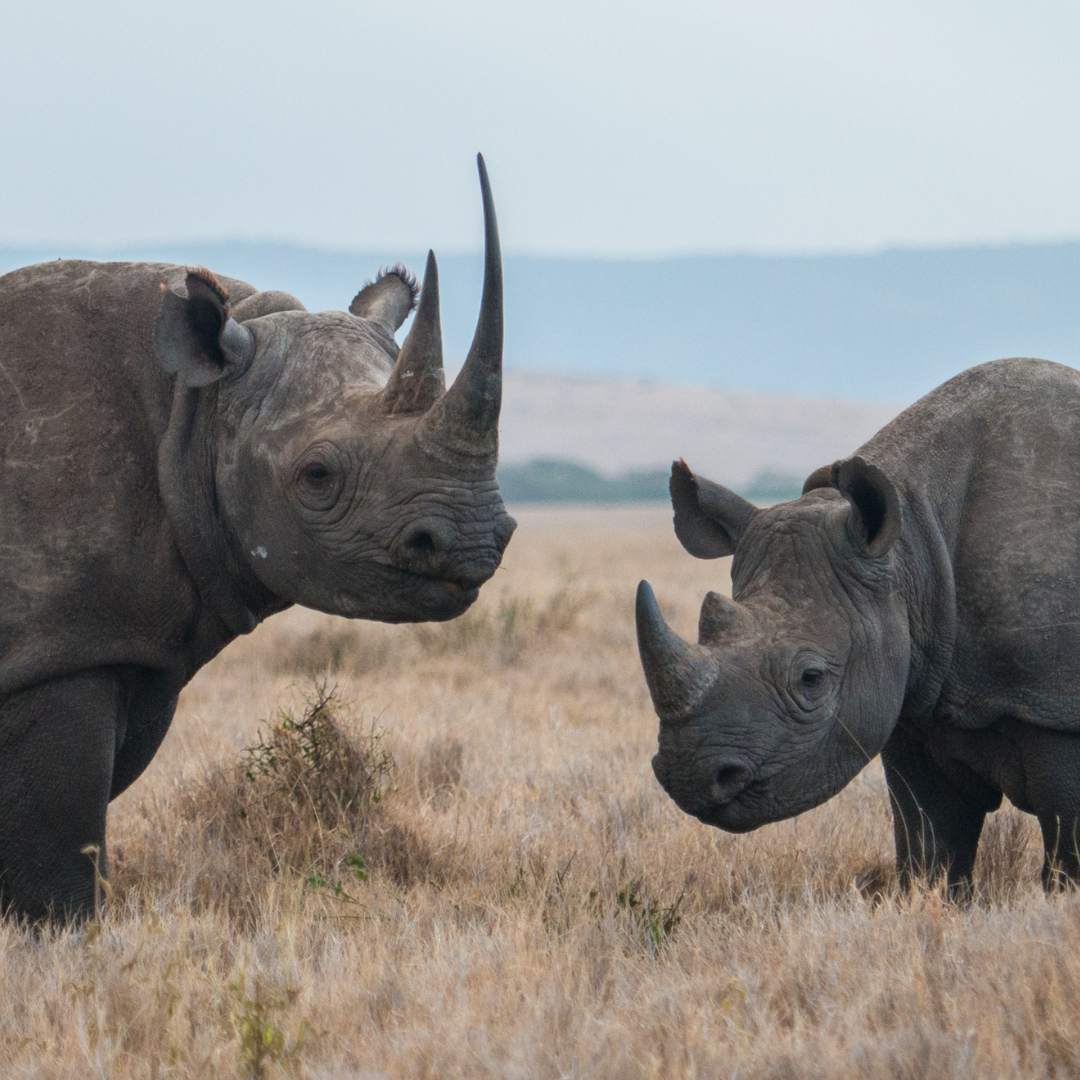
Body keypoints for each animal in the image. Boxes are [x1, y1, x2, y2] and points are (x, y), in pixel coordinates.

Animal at [0, 155, 516, 920]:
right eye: (317, 475)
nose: (479, 540)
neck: (195, 407)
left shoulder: (128, 641)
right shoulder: (58, 645)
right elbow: (60, 872)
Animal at [637, 357, 1080, 893]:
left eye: (811, 679)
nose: (689, 776)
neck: (913, 546)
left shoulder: (1055, 704)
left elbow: (1068, 851)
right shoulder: (917, 700)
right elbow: (930, 846)